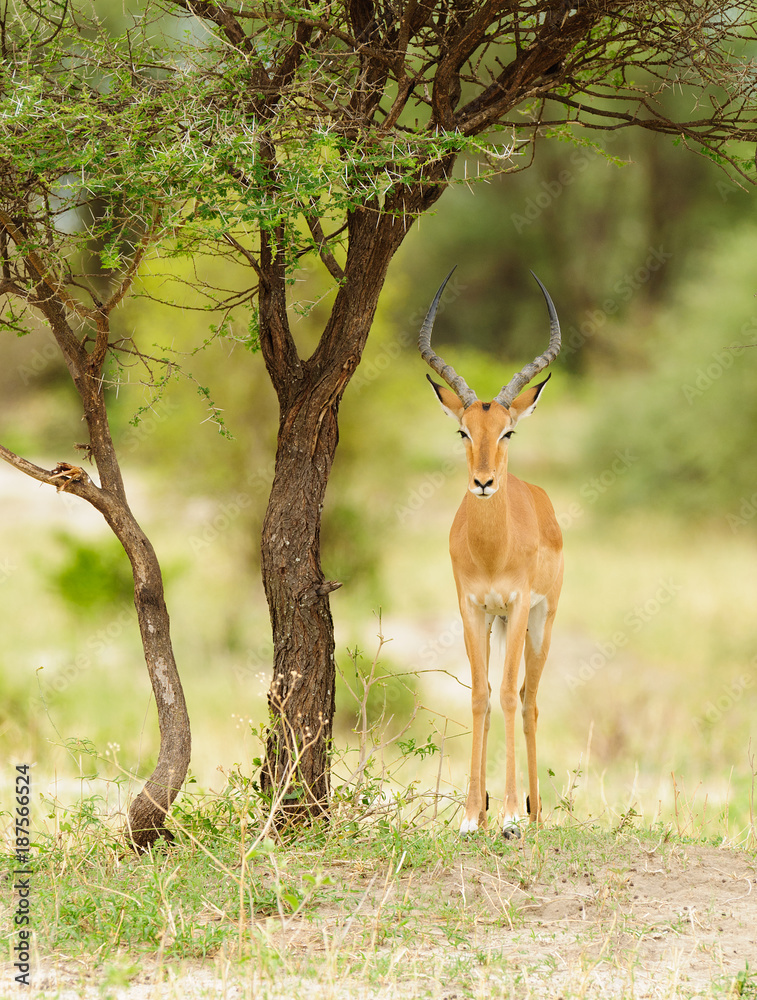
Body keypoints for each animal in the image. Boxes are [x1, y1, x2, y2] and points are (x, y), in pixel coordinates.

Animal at [419, 270, 563, 839]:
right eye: (463, 429)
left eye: (508, 430)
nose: (483, 482)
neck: (491, 550)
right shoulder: (472, 607)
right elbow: (479, 695)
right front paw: (469, 816)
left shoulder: (520, 605)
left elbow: (505, 694)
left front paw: (507, 816)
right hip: (499, 621)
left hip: (541, 622)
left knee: (529, 700)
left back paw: (534, 813)